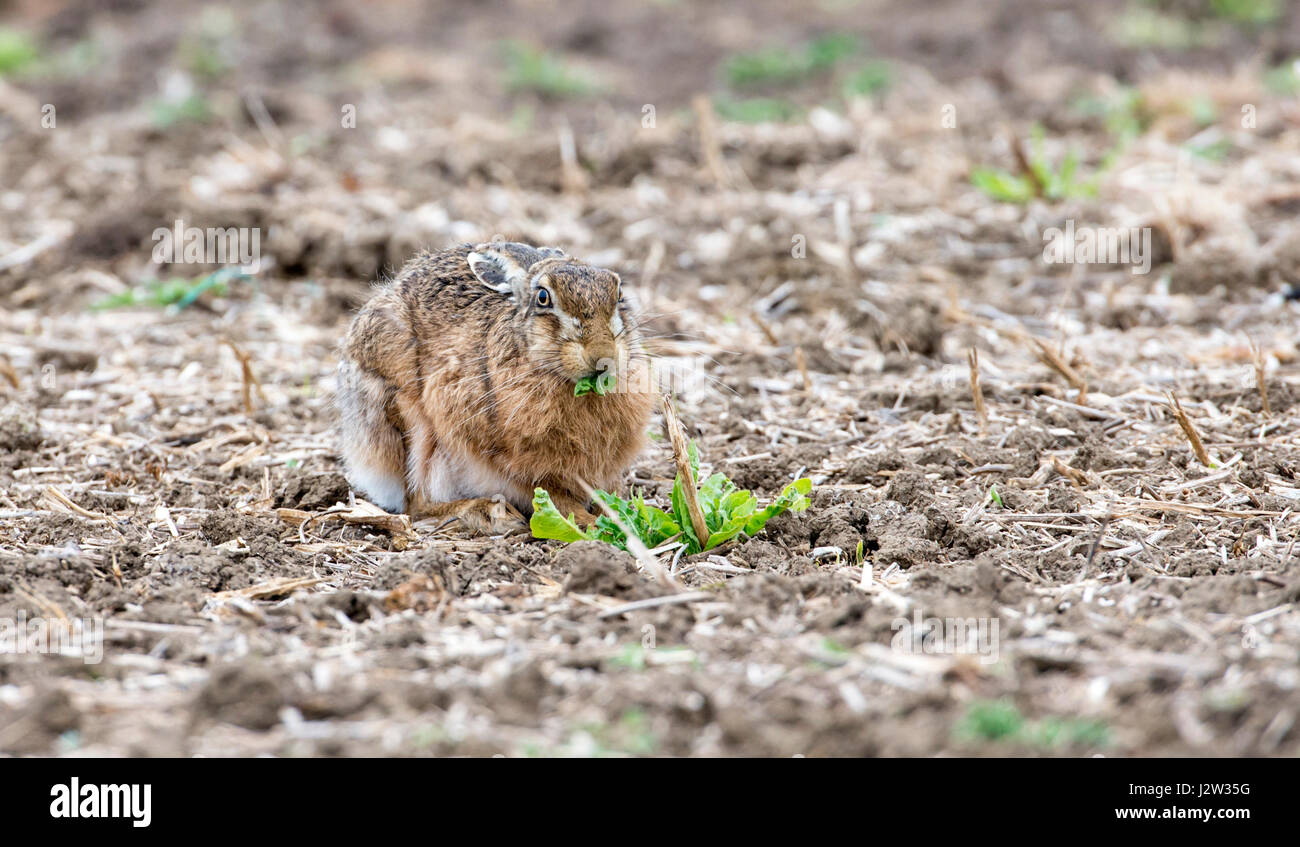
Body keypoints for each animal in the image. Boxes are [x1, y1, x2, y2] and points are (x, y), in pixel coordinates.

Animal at [335, 241, 656, 534]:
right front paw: (594, 524)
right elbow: (552, 495)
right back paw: (488, 513)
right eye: (543, 297)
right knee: (416, 502)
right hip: (410, 420)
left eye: (619, 294)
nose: (603, 355)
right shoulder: (517, 461)